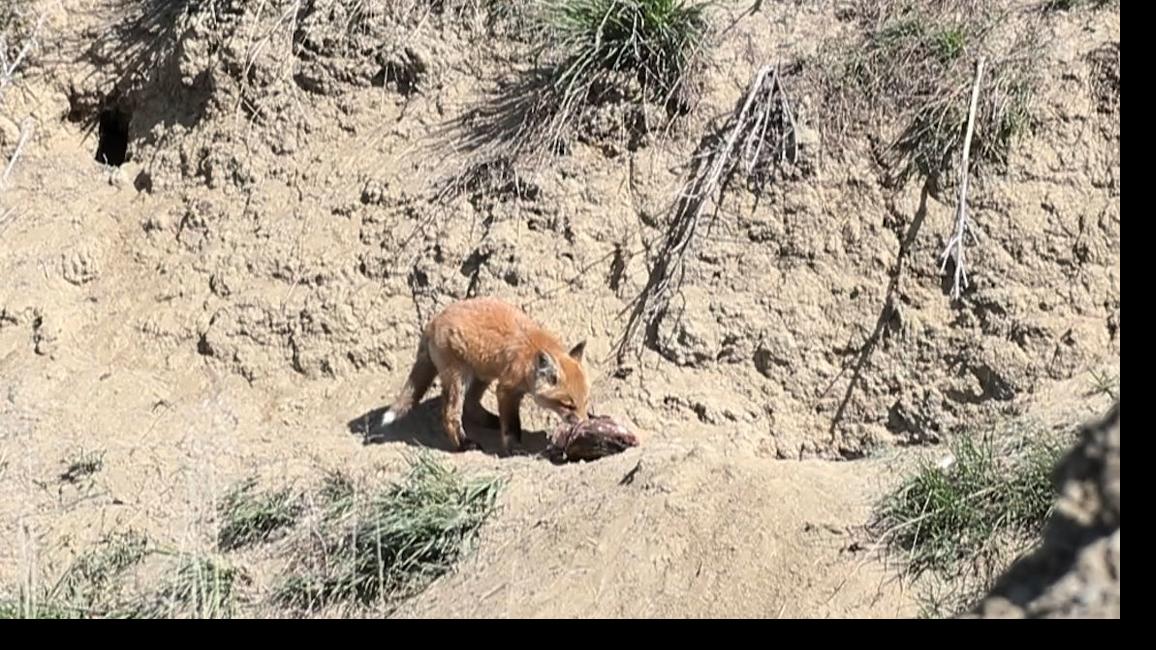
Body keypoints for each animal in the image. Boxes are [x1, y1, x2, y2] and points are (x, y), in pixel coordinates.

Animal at [379, 297, 591, 453]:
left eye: (585, 401)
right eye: (568, 405)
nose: (584, 423)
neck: (530, 353)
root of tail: (433, 321)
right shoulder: (506, 389)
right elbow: (512, 424)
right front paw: (513, 447)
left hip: (482, 375)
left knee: (471, 405)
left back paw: (491, 421)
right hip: (459, 378)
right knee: (450, 414)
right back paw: (464, 444)